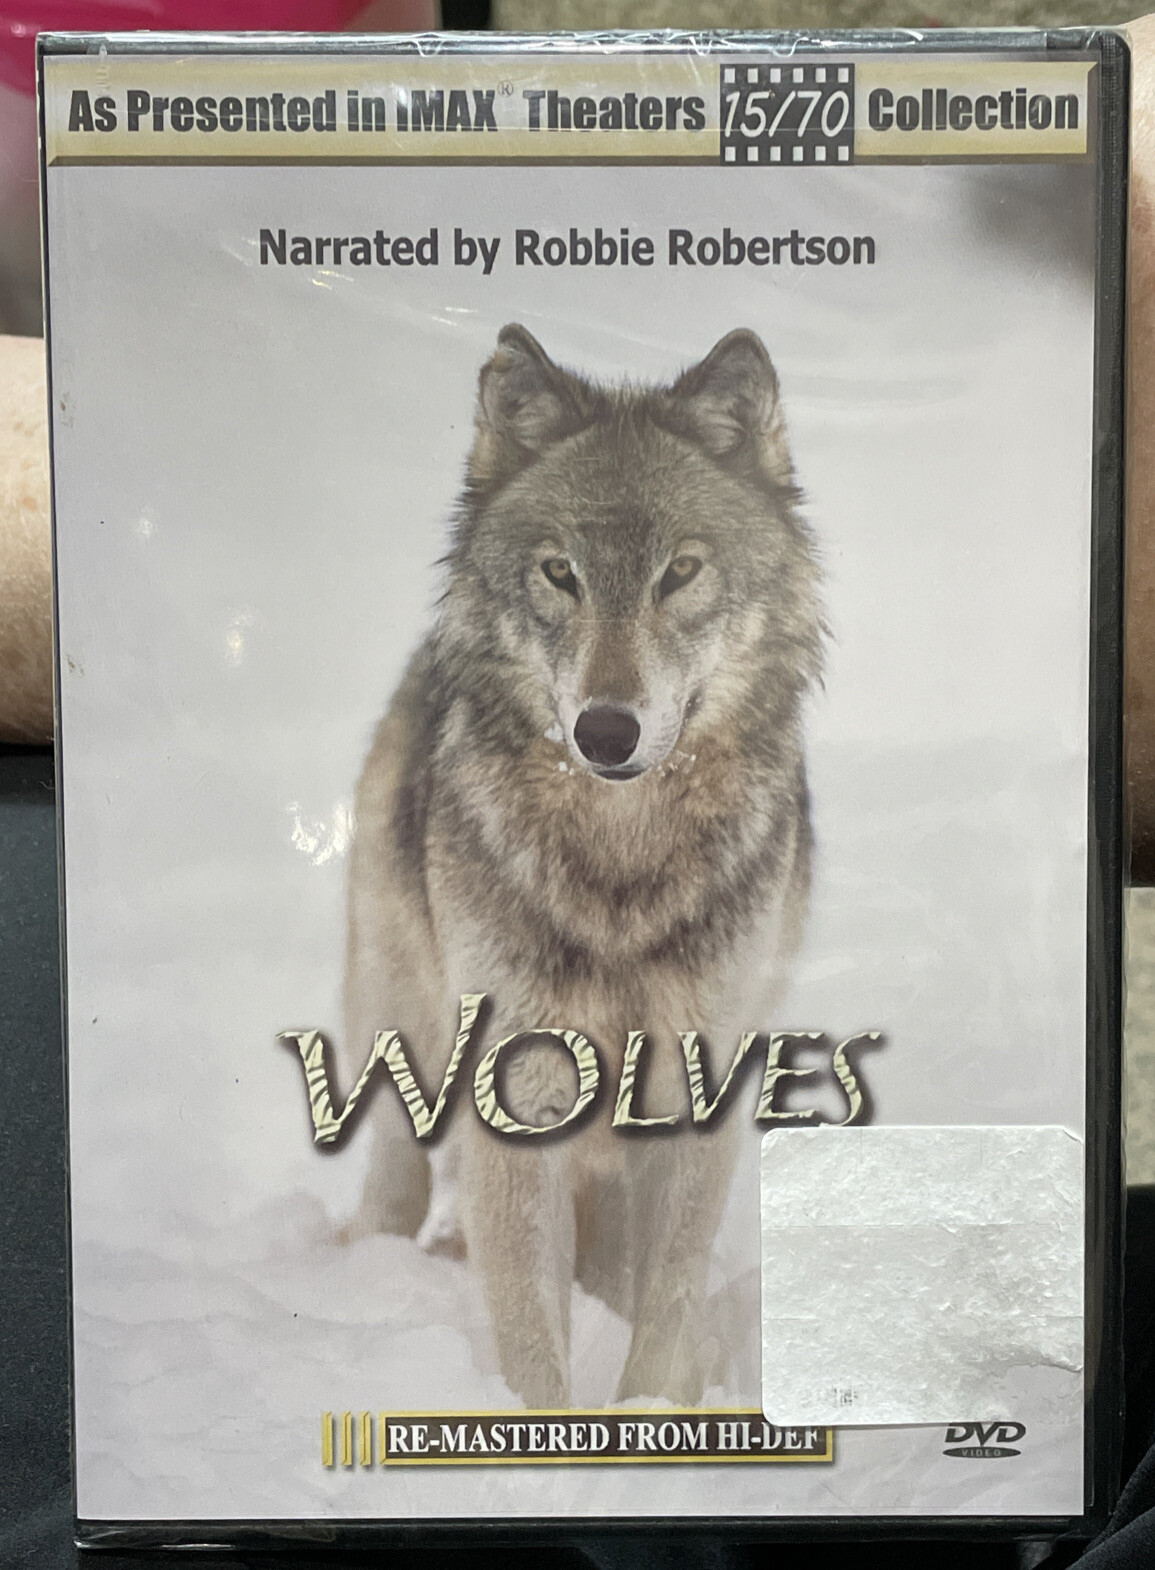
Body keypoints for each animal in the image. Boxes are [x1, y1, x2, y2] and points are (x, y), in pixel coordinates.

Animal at [342, 323, 823, 1410]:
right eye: (561, 573)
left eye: (678, 572)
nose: (606, 732)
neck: (620, 863)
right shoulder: (514, 1101)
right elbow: (529, 1331)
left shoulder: (697, 1100)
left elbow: (667, 1298)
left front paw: (648, 1412)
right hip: (402, 1014)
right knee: (392, 1170)